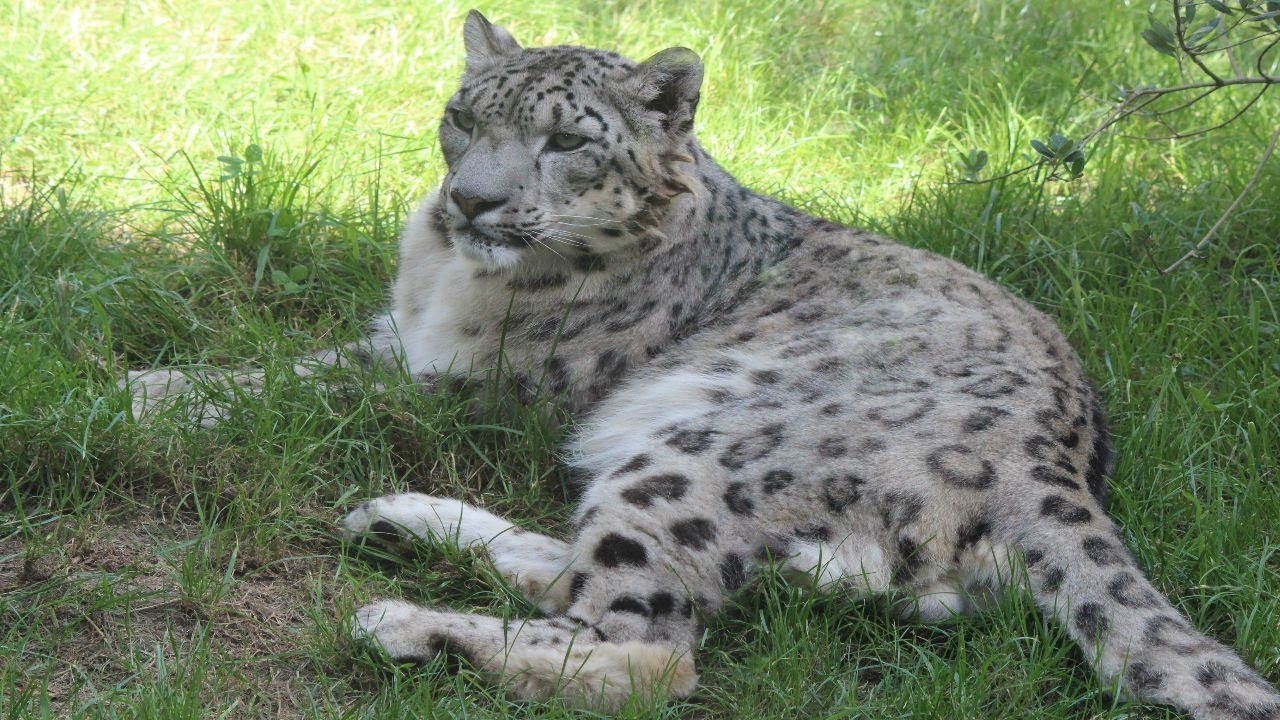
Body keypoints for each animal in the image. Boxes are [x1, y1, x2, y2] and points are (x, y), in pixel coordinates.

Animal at [126, 10, 1280, 718]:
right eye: (462, 116)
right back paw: (398, 517)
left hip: (697, 456)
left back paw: (407, 623)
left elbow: (302, 380)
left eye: (566, 142)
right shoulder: (397, 332)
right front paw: (157, 380)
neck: (440, 278)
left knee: (644, 644)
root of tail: (1060, 465)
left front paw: (133, 394)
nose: (473, 203)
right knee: (588, 582)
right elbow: (302, 357)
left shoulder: (471, 381)